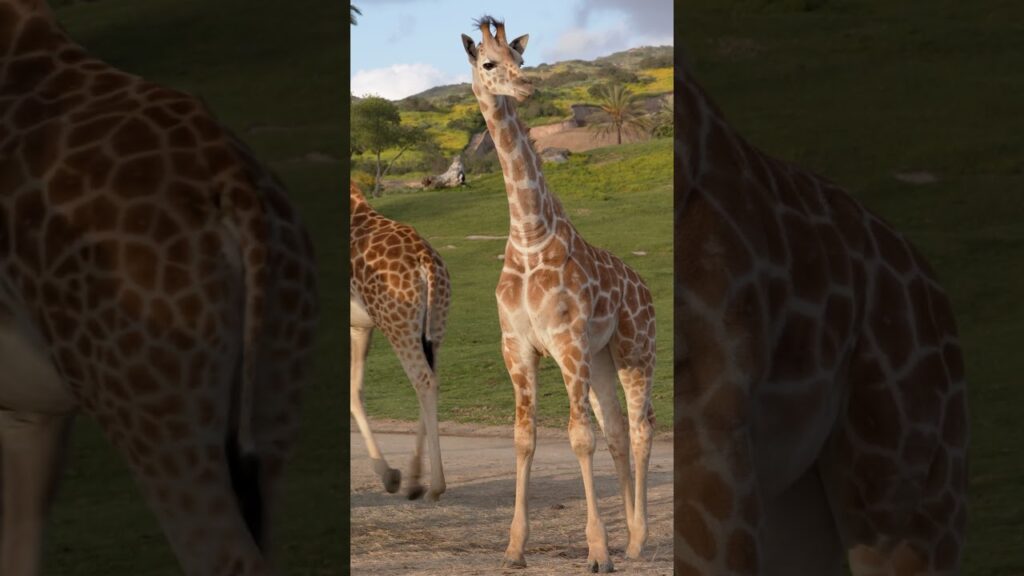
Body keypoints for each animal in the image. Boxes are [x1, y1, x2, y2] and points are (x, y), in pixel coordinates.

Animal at [349, 181, 449, 501]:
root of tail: (425, 260)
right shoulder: (360, 327)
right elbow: (355, 390)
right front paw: (389, 475)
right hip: (434, 326)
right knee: (432, 377)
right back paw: (415, 479)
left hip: (398, 325)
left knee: (423, 380)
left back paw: (435, 485)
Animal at [461, 17, 657, 573]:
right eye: (489, 62)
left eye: (521, 60)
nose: (527, 87)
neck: (530, 236)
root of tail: (645, 288)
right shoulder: (517, 346)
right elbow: (524, 439)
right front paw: (514, 547)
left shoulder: (567, 343)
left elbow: (578, 439)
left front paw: (597, 550)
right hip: (603, 359)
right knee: (616, 429)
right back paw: (630, 536)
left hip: (636, 351)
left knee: (641, 427)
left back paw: (638, 540)